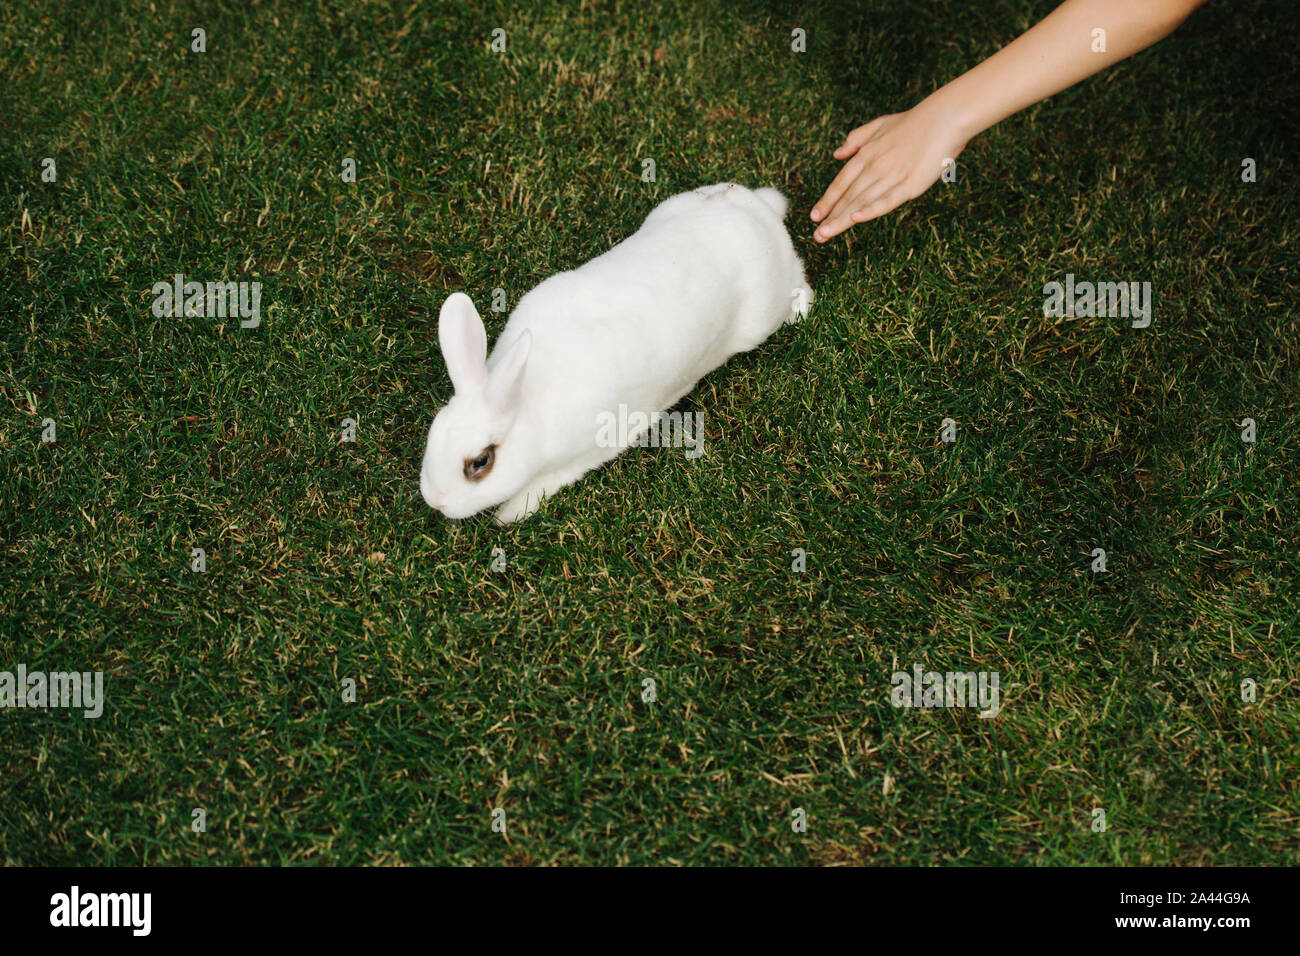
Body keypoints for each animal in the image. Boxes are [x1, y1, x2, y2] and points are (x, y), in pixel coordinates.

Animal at [419, 182, 812, 524]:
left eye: (481, 462)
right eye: (434, 431)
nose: (435, 500)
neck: (525, 399)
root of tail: (760, 210)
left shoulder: (588, 452)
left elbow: (542, 485)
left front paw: (509, 514)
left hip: (765, 312)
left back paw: (802, 308)